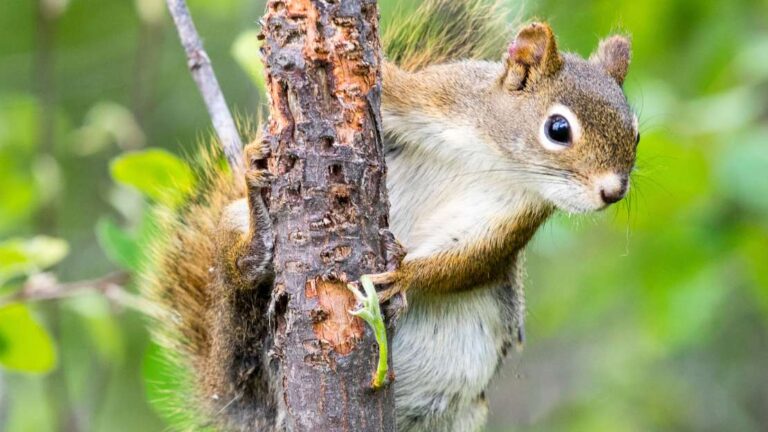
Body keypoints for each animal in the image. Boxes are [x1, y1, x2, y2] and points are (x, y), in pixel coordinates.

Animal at [141, 0, 639, 431]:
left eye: (635, 133)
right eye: (558, 129)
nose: (612, 192)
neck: (493, 154)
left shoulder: (512, 217)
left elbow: (468, 261)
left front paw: (402, 277)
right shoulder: (431, 97)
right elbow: (388, 82)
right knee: (237, 280)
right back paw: (257, 231)